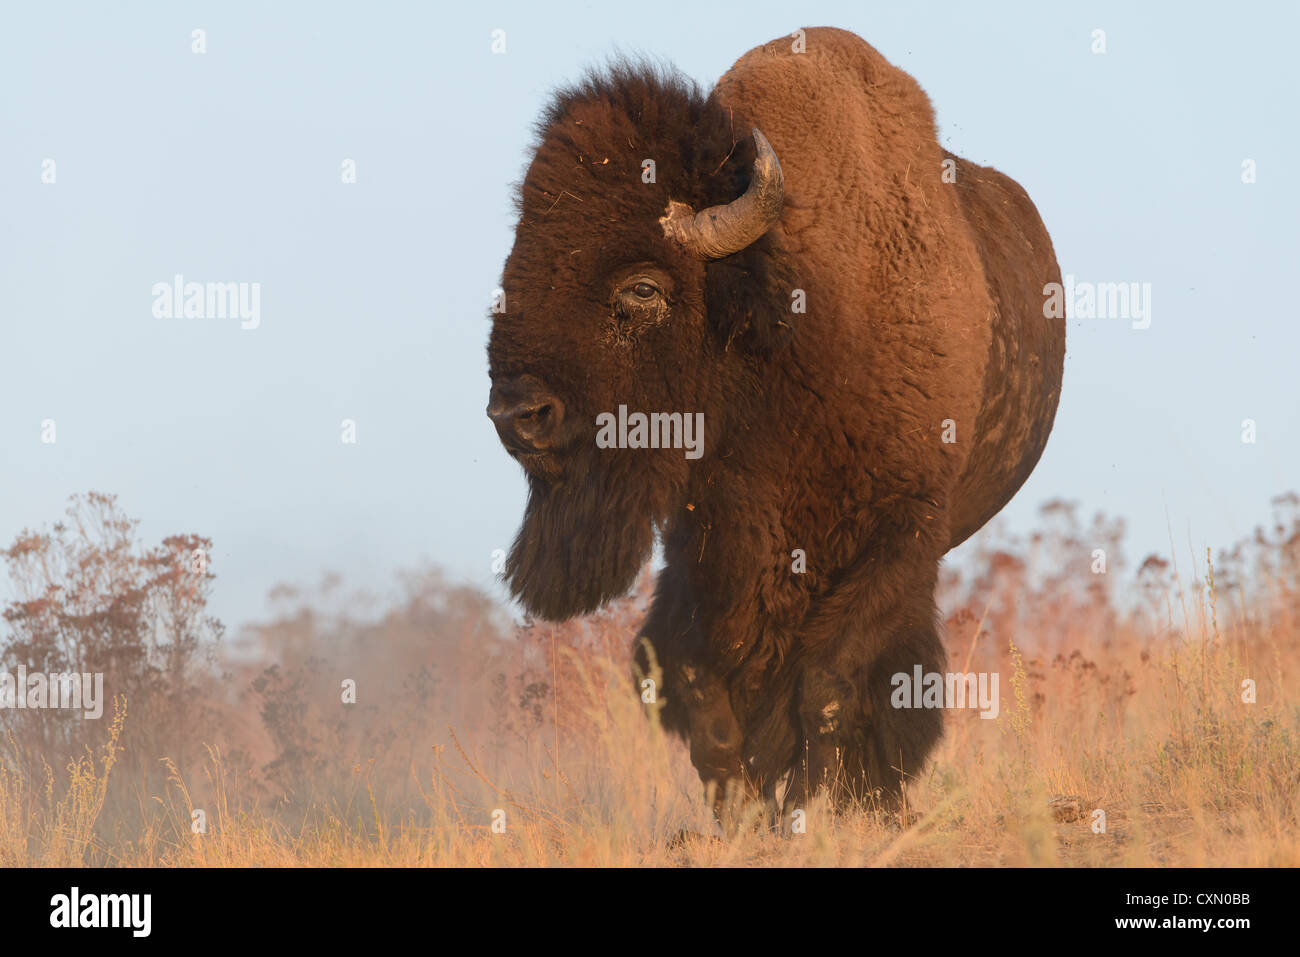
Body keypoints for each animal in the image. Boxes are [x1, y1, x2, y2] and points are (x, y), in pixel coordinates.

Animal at [486, 27, 1064, 819]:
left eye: (643, 288)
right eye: (515, 269)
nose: (518, 415)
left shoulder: (899, 535)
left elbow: (827, 683)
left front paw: (811, 809)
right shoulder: (704, 544)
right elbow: (698, 678)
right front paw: (736, 810)